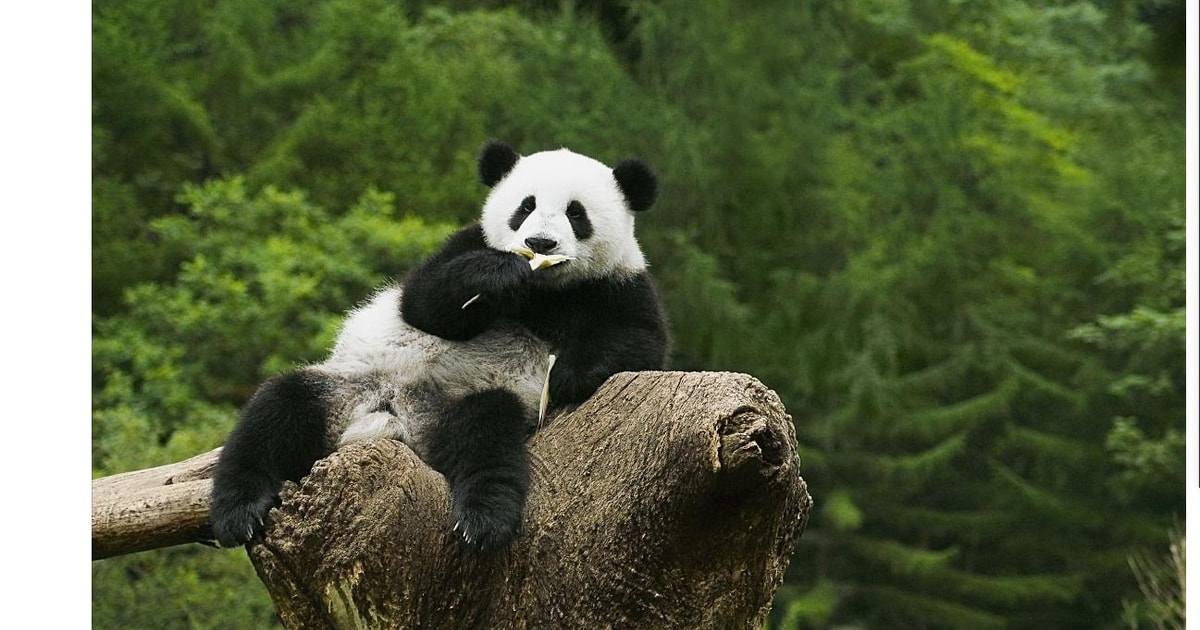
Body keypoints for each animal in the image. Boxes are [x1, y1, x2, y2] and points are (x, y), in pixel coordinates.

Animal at [209, 140, 670, 552]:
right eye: (525, 207)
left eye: (576, 213)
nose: (539, 244)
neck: (543, 290)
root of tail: (395, 416)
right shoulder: (466, 244)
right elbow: (424, 302)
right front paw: (497, 275)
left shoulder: (618, 284)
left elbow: (639, 342)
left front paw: (566, 375)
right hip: (347, 385)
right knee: (276, 411)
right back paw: (240, 511)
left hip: (463, 403)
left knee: (487, 437)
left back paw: (482, 520)